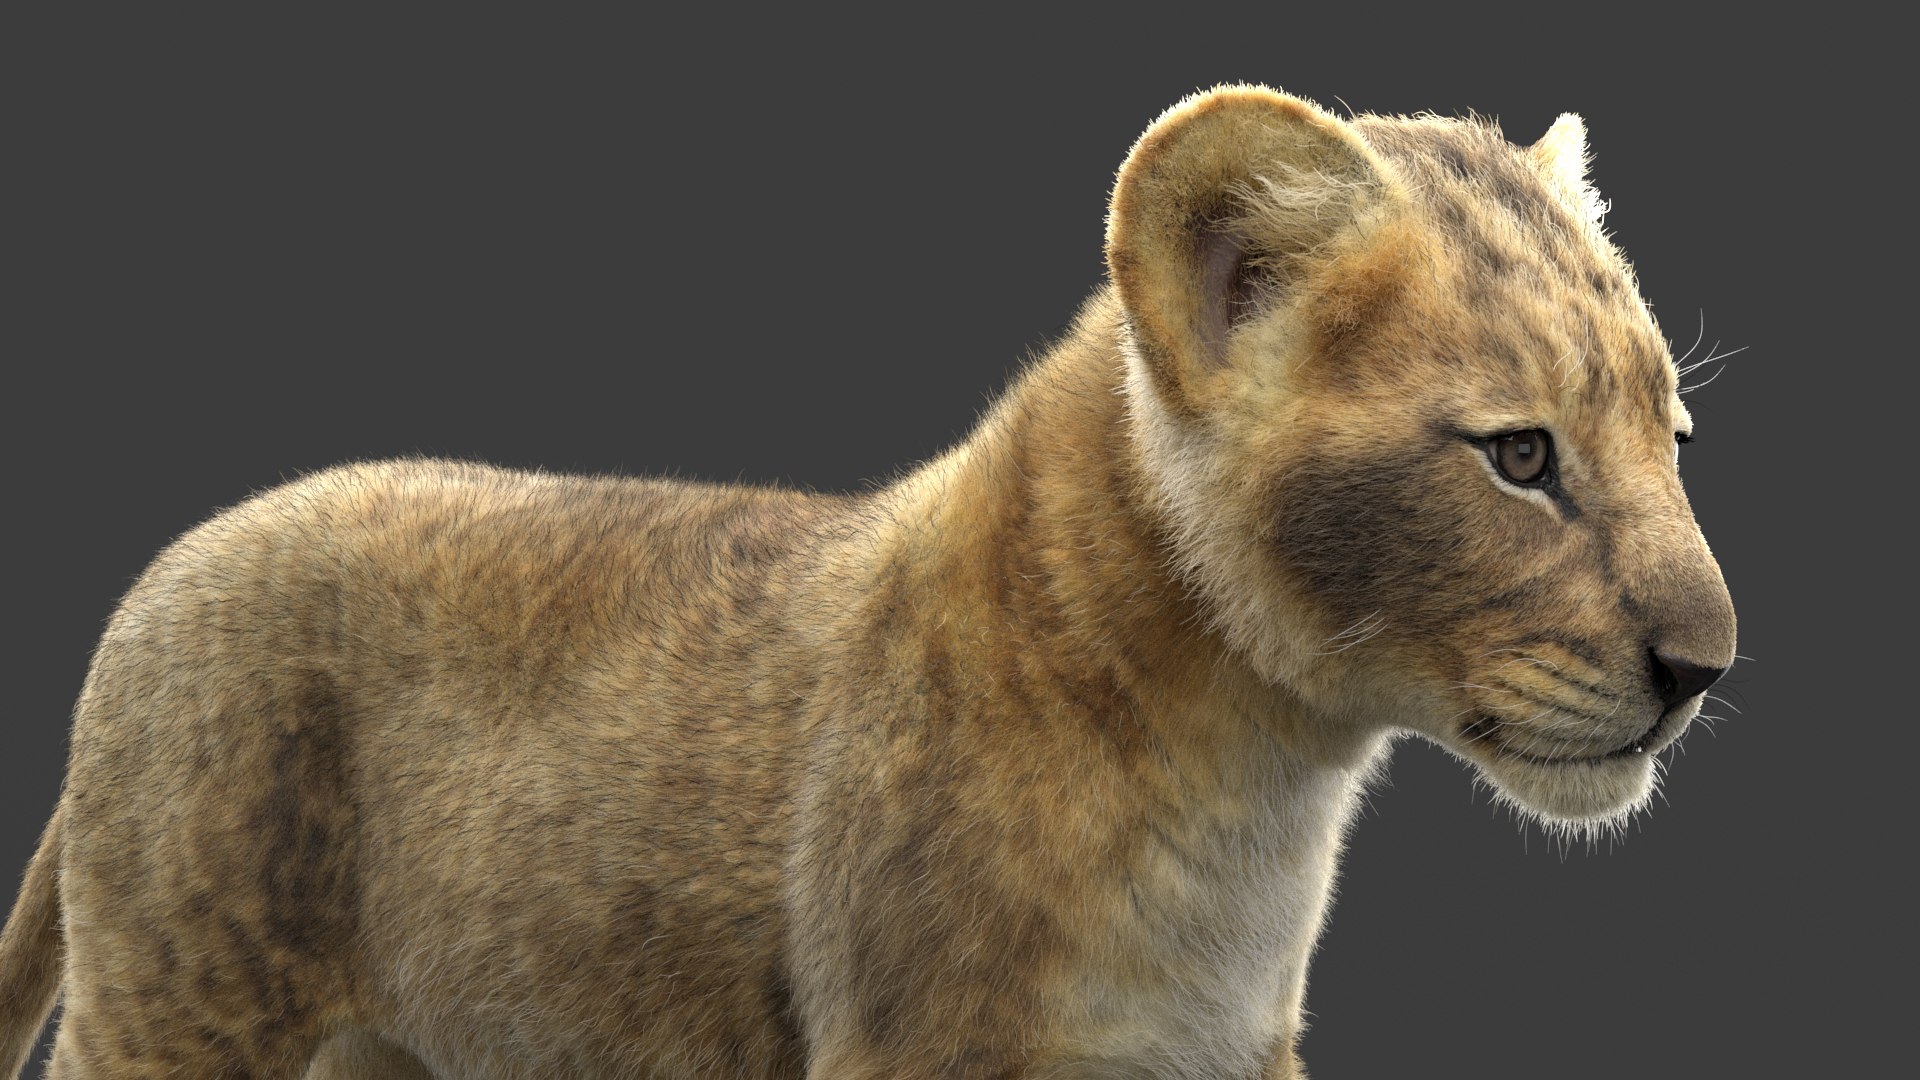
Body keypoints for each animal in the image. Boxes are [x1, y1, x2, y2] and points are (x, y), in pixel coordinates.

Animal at [2, 84, 1734, 1078]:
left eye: (1670, 436)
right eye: (1519, 457)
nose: (1707, 667)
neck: (1252, 785)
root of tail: (164, 569)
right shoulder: (918, 1052)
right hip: (177, 1013)